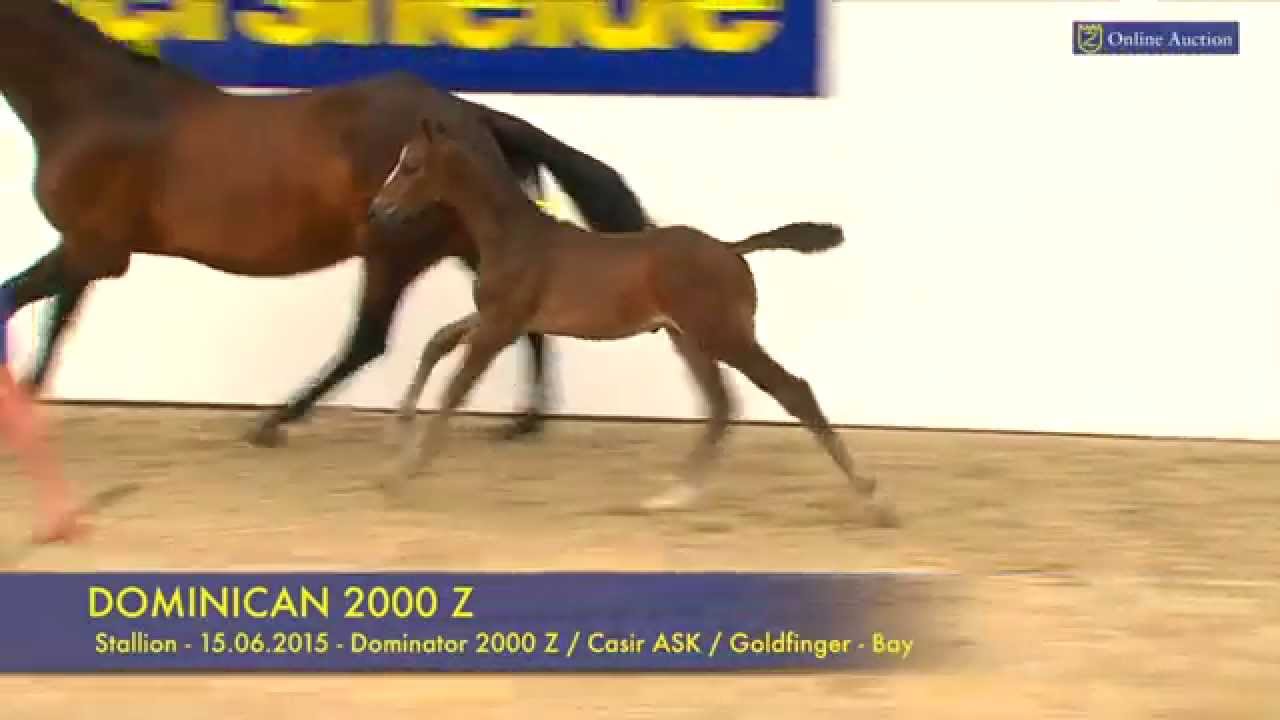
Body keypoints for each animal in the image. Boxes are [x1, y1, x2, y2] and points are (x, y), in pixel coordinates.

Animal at [0, 0, 651, 448]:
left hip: (393, 246)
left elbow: (16, 299)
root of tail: (471, 114)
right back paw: (524, 421)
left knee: (368, 339)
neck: (96, 105)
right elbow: (55, 322)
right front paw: (29, 396)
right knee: (513, 316)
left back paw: (275, 420)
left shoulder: (95, 248)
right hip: (469, 239)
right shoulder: (87, 248)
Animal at [368, 118, 898, 526]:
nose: (379, 210)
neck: (514, 236)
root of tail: (731, 250)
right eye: (399, 161)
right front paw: (401, 426)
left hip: (723, 336)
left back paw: (872, 498)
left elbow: (456, 387)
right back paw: (672, 496)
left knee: (792, 391)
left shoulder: (501, 326)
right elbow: (437, 342)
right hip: (690, 340)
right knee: (721, 405)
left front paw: (403, 471)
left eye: (412, 165)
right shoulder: (500, 318)